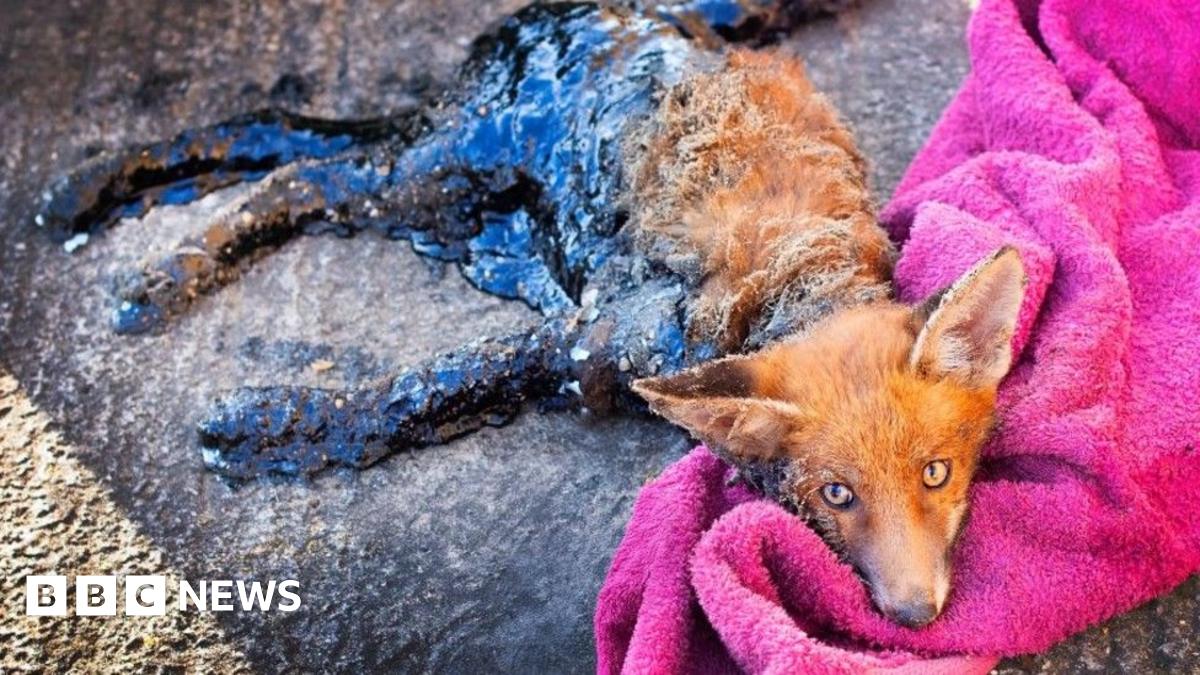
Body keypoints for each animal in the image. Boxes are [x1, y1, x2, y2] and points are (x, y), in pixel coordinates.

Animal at [35, 0, 1025, 628]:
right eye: (836, 495)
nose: (916, 615)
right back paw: (158, 258)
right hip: (439, 174)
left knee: (290, 140)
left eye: (938, 474)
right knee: (300, 172)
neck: (787, 280)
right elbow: (424, 387)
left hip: (456, 207)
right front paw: (272, 428)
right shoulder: (587, 338)